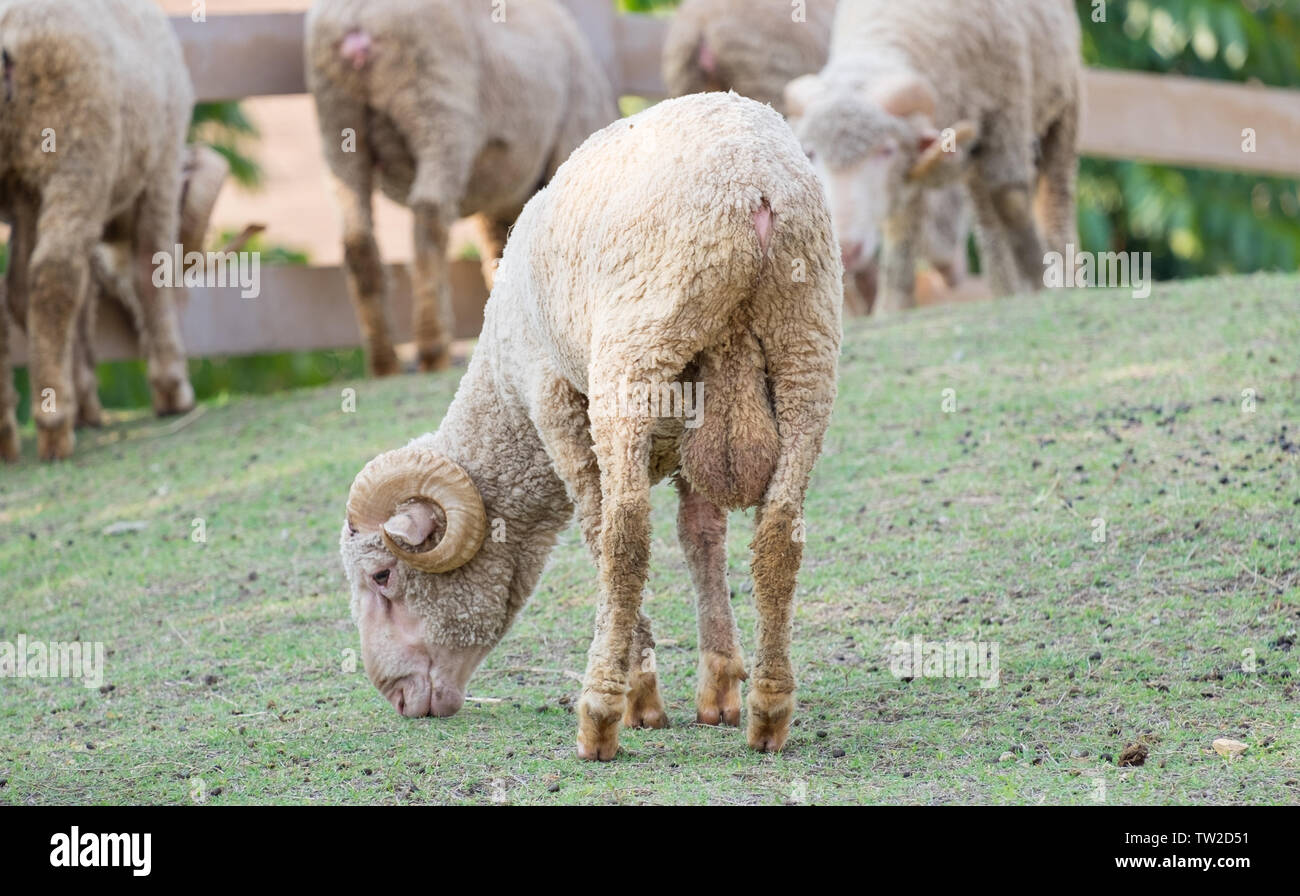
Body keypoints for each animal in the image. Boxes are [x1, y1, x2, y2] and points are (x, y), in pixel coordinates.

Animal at [0, 0, 196, 460]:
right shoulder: (161, 173)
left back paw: (8, 434)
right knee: (55, 272)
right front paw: (172, 387)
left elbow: (41, 298)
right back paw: (53, 427)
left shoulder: (26, 197)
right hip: (77, 146)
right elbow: (150, 273)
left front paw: (85, 399)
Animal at [306, 0, 616, 376]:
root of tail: (355, 17)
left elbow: (499, 250)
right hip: (437, 105)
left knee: (358, 240)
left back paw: (384, 362)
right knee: (429, 217)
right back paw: (432, 349)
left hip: (338, 123)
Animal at [339, 92, 842, 759]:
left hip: (633, 360)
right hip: (805, 348)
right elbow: (702, 536)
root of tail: (755, 193)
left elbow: (599, 530)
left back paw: (600, 714)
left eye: (382, 575)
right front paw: (719, 689)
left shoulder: (551, 399)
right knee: (781, 534)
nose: (397, 697)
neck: (506, 401)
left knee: (626, 537)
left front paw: (643, 698)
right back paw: (768, 712)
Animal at [785, 0, 1082, 312]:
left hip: (1064, 106)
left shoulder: (1005, 113)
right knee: (987, 216)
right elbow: (901, 231)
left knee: (1056, 196)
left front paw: (1039, 281)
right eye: (809, 152)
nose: (847, 248)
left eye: (887, 149)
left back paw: (1066, 277)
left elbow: (1010, 200)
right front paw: (892, 308)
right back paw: (1006, 290)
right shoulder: (910, 167)